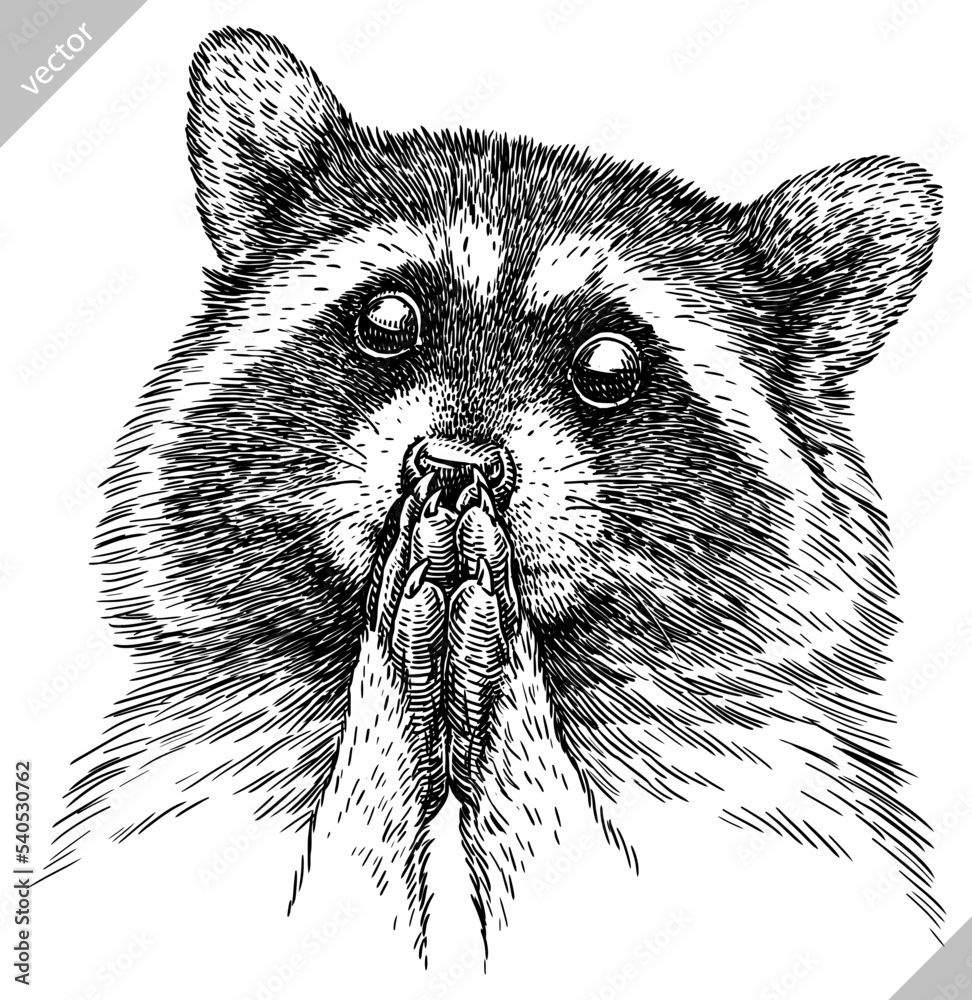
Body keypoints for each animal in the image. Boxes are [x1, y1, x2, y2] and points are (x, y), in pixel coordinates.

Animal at [50, 26, 943, 958]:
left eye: (607, 367)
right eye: (388, 321)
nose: (454, 468)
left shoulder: (758, 790)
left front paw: (511, 723)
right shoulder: (199, 768)